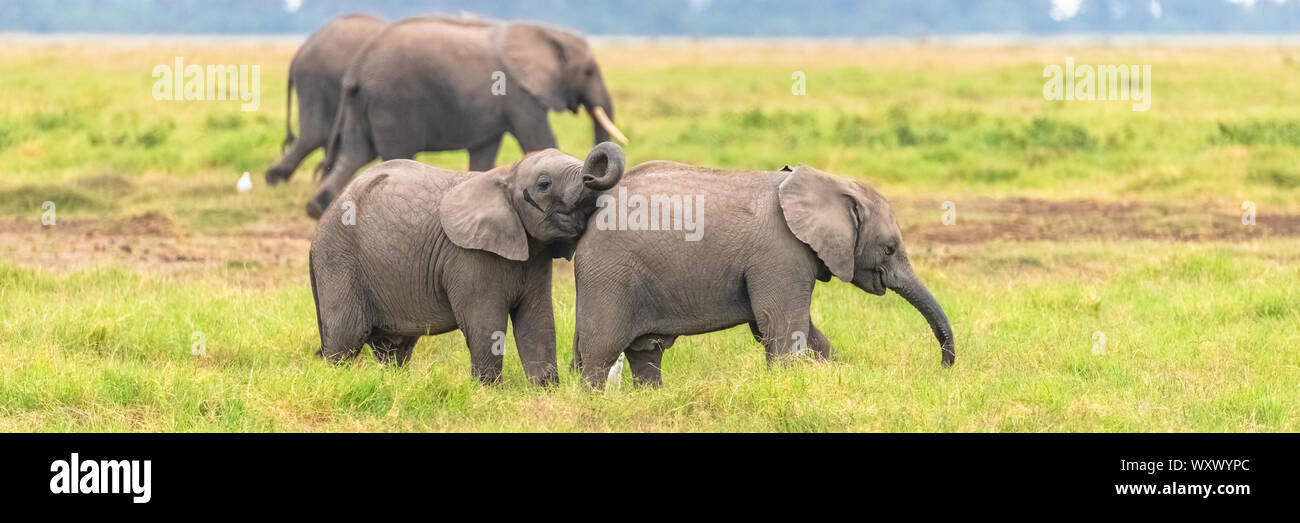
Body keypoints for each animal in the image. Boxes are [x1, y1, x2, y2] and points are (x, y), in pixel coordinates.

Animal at [306, 16, 628, 219]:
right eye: (588, 71)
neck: (547, 32)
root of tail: (358, 65)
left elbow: (485, 151)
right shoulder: (518, 94)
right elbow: (539, 138)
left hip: (363, 103)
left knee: (353, 153)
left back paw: (318, 208)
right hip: (392, 102)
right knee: (393, 153)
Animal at [309, 142, 625, 386]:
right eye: (544, 184)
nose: (592, 179)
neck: (506, 175)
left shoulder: (535, 256)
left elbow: (537, 322)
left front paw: (545, 391)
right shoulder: (469, 256)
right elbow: (486, 325)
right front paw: (488, 392)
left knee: (395, 349)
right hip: (339, 260)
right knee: (344, 341)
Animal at [570, 162, 954, 388]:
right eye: (889, 248)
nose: (944, 370)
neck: (827, 183)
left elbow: (797, 330)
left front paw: (834, 373)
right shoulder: (781, 254)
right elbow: (782, 326)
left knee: (646, 353)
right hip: (609, 276)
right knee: (601, 352)